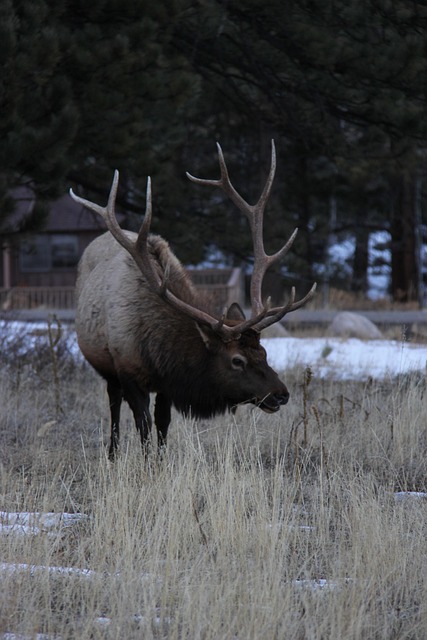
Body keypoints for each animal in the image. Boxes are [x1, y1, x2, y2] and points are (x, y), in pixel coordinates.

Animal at [69, 141, 316, 460]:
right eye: (237, 360)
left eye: (263, 352)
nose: (281, 394)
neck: (158, 349)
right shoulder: (129, 371)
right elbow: (143, 426)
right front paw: (146, 463)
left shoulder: (166, 384)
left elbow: (163, 424)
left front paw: (161, 462)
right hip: (106, 365)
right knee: (113, 403)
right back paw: (112, 454)